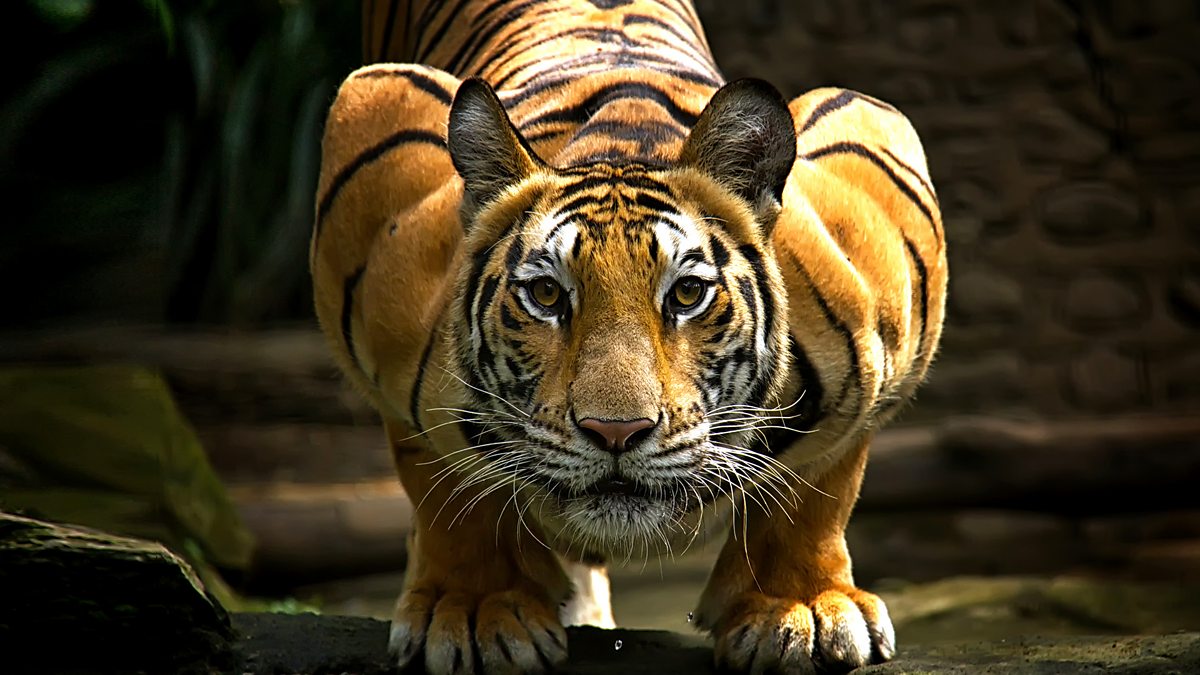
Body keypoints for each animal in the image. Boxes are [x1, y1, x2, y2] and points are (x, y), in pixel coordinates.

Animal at [310, 0, 947, 672]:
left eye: (687, 295)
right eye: (547, 296)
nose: (616, 432)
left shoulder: (871, 145)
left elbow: (819, 484)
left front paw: (800, 608)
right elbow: (448, 484)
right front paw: (473, 611)